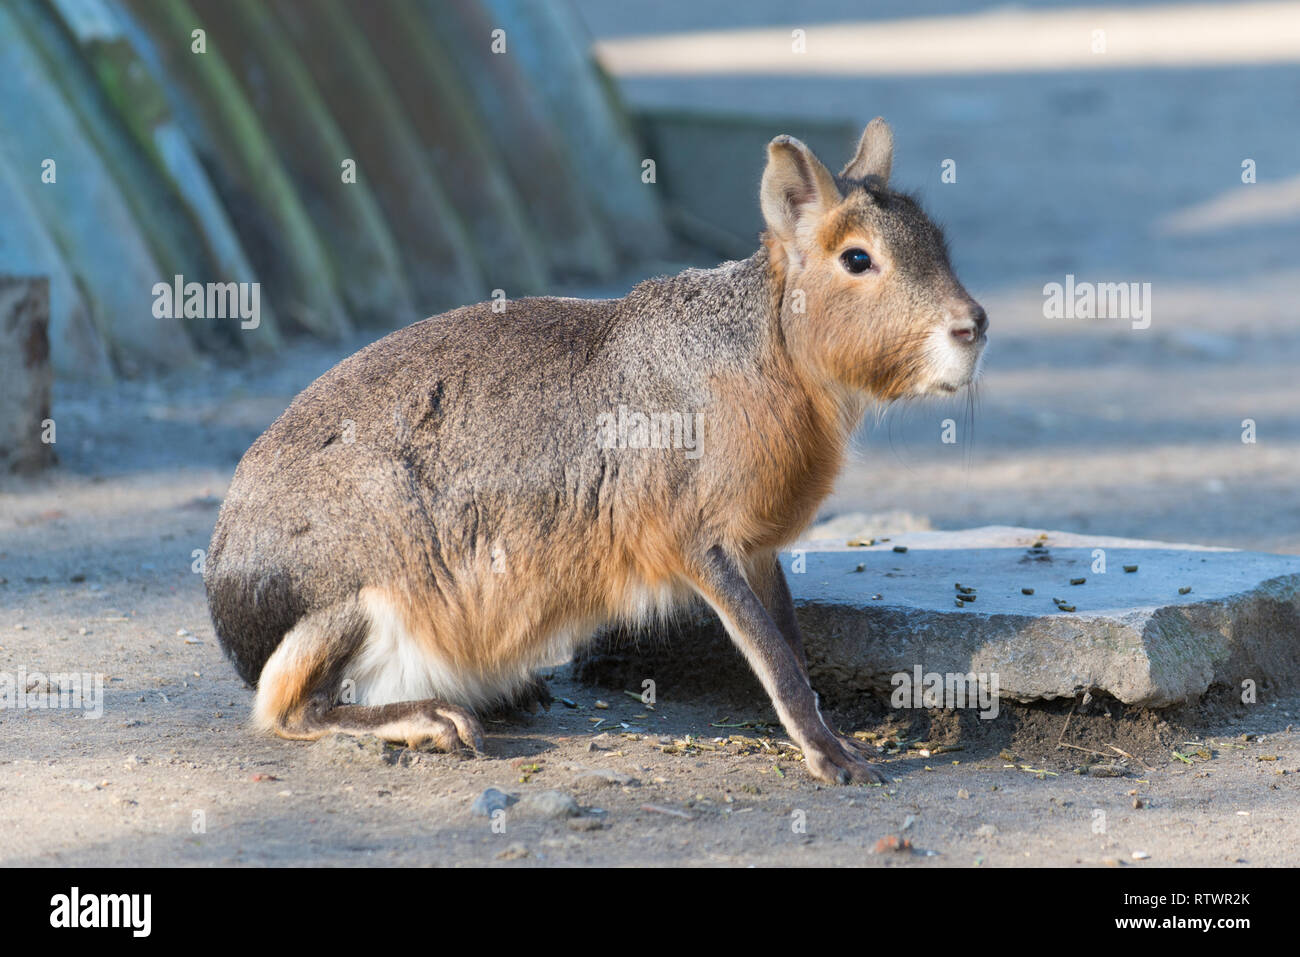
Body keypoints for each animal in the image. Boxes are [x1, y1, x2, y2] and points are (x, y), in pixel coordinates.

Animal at [204, 118, 987, 784]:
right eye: (857, 258)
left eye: (937, 239)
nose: (973, 326)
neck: (773, 353)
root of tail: (225, 593)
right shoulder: (692, 536)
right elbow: (775, 660)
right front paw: (834, 760)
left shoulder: (759, 550)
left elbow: (790, 643)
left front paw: (842, 740)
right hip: (358, 601)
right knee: (287, 707)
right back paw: (432, 721)